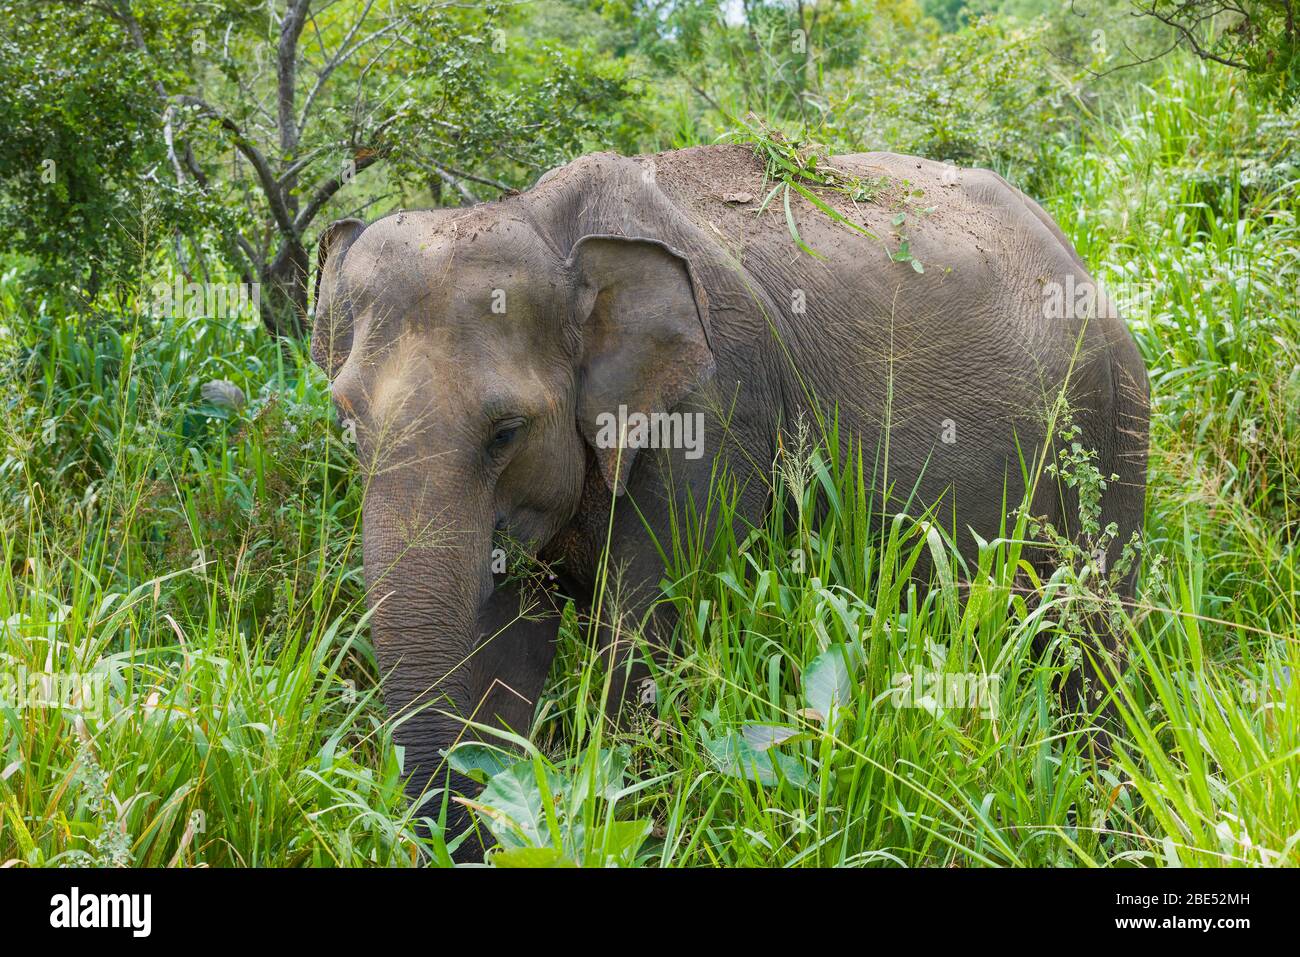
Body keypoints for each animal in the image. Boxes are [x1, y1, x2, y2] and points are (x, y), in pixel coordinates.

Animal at [310, 144, 1149, 854]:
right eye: (347, 419)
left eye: (506, 431)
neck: (546, 221)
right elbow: (510, 642)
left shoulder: (712, 418)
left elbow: (646, 650)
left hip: (1115, 428)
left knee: (1094, 635)